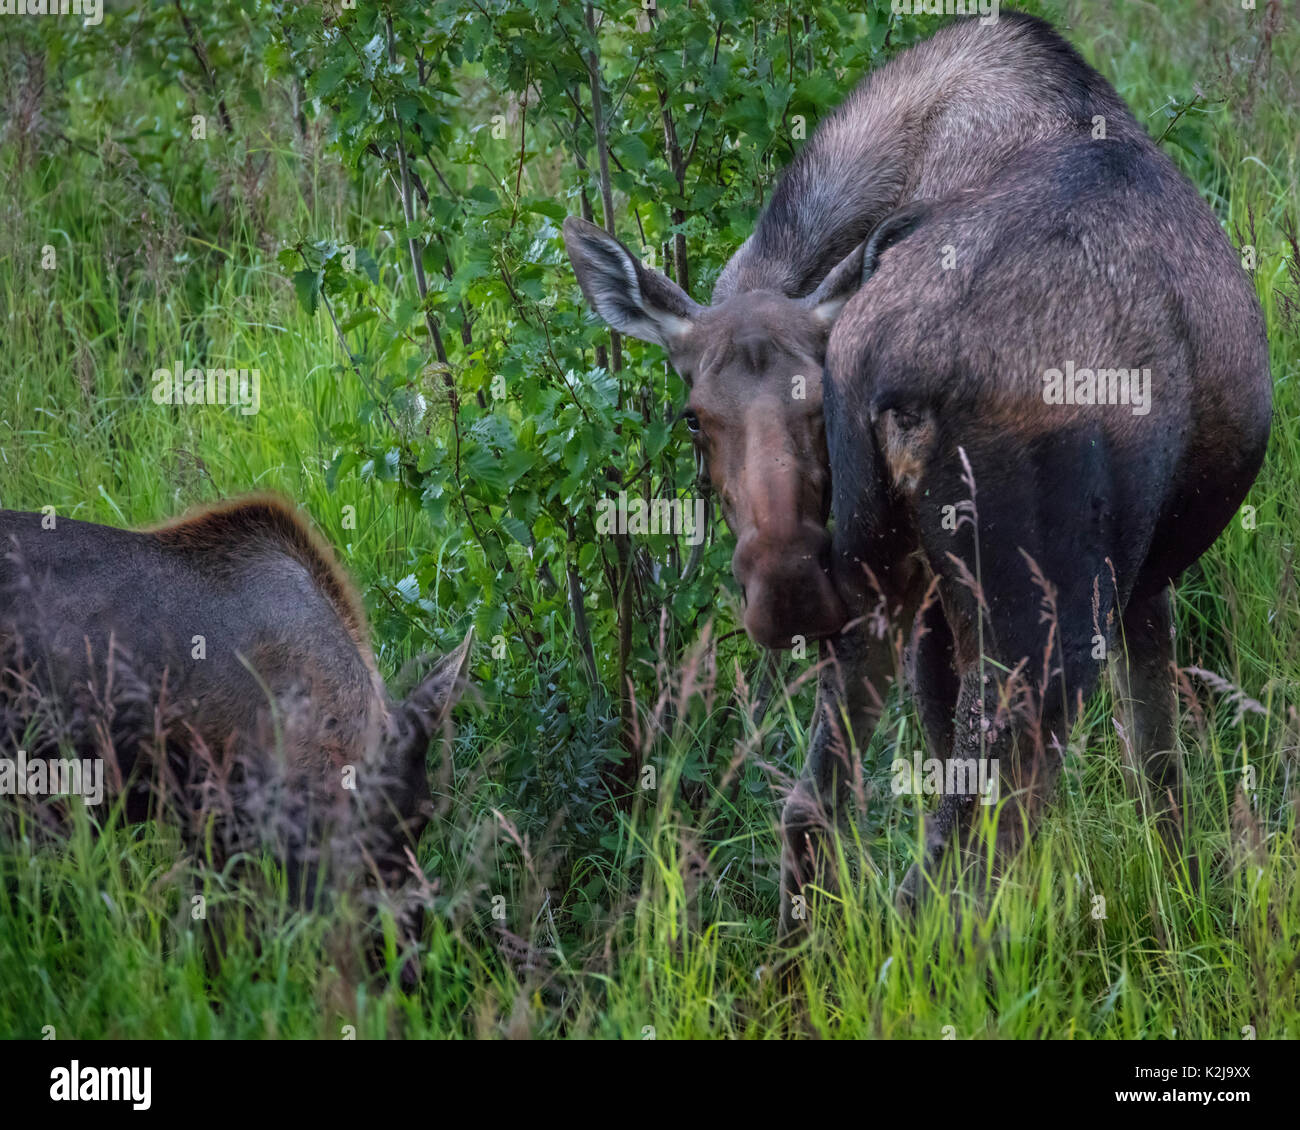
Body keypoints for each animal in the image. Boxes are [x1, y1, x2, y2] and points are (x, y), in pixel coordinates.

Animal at [561, 12, 1272, 936]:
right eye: (693, 417)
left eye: (813, 401)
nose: (784, 582)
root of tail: (907, 379)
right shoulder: (1143, 580)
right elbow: (1160, 772)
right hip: (1045, 616)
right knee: (966, 862)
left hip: (879, 584)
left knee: (815, 808)